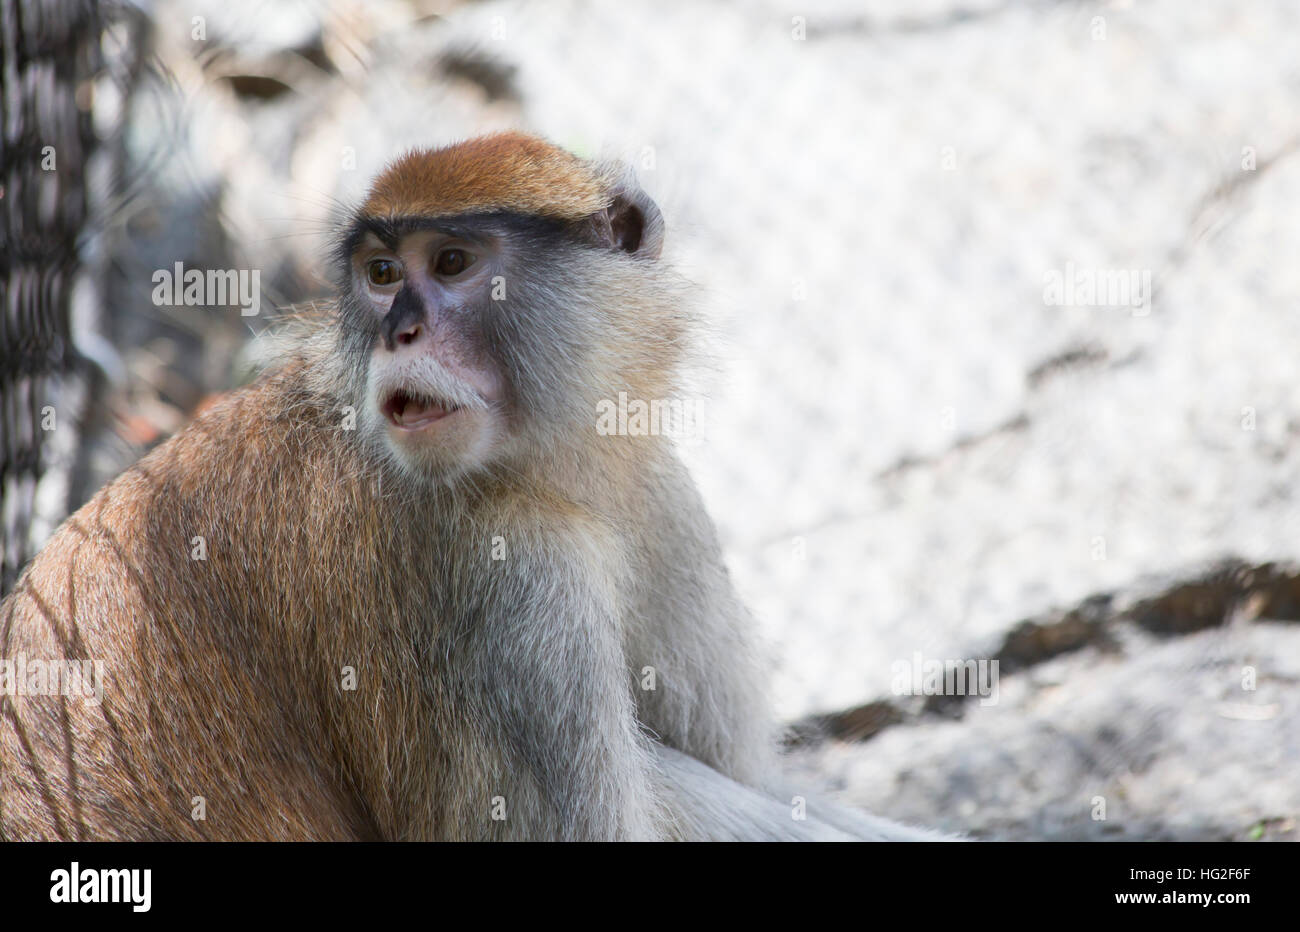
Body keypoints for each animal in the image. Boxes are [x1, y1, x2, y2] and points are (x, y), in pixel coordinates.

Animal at [0, 132, 944, 841]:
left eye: (452, 261)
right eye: (382, 275)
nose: (400, 333)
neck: (536, 463)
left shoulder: (652, 497)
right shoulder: (502, 581)